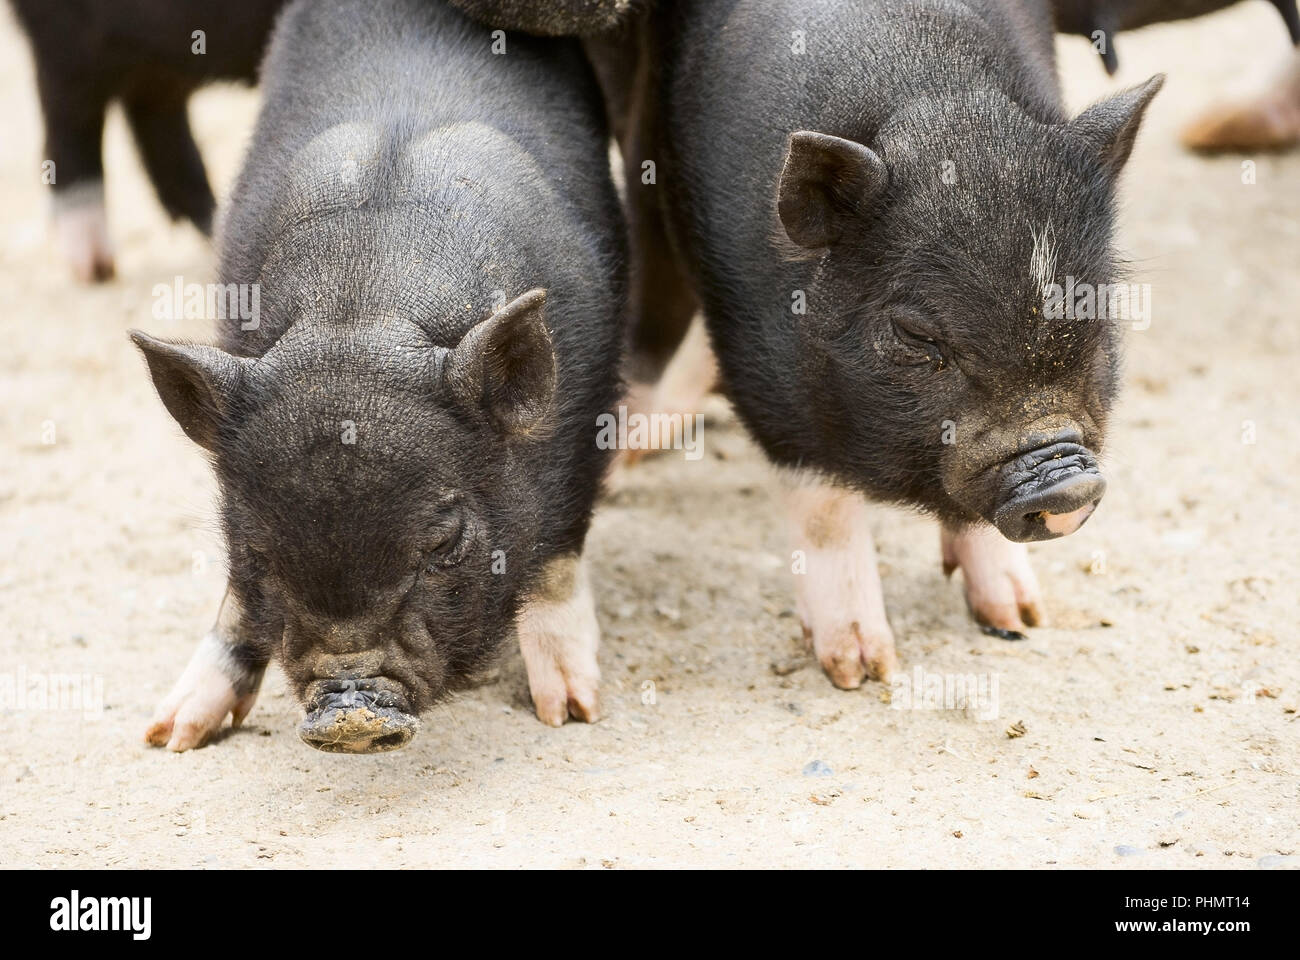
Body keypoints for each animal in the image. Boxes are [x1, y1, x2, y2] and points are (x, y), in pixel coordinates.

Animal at [131, 0, 626, 751]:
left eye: (444, 546)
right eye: (259, 551)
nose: (350, 709)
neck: (363, 307)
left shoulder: (592, 401)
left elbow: (558, 555)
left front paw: (570, 712)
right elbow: (237, 604)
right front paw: (170, 737)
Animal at [615, 0, 1163, 688]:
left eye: (1097, 308)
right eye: (916, 332)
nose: (1064, 479)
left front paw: (1021, 619)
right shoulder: (762, 362)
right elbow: (823, 506)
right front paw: (863, 671)